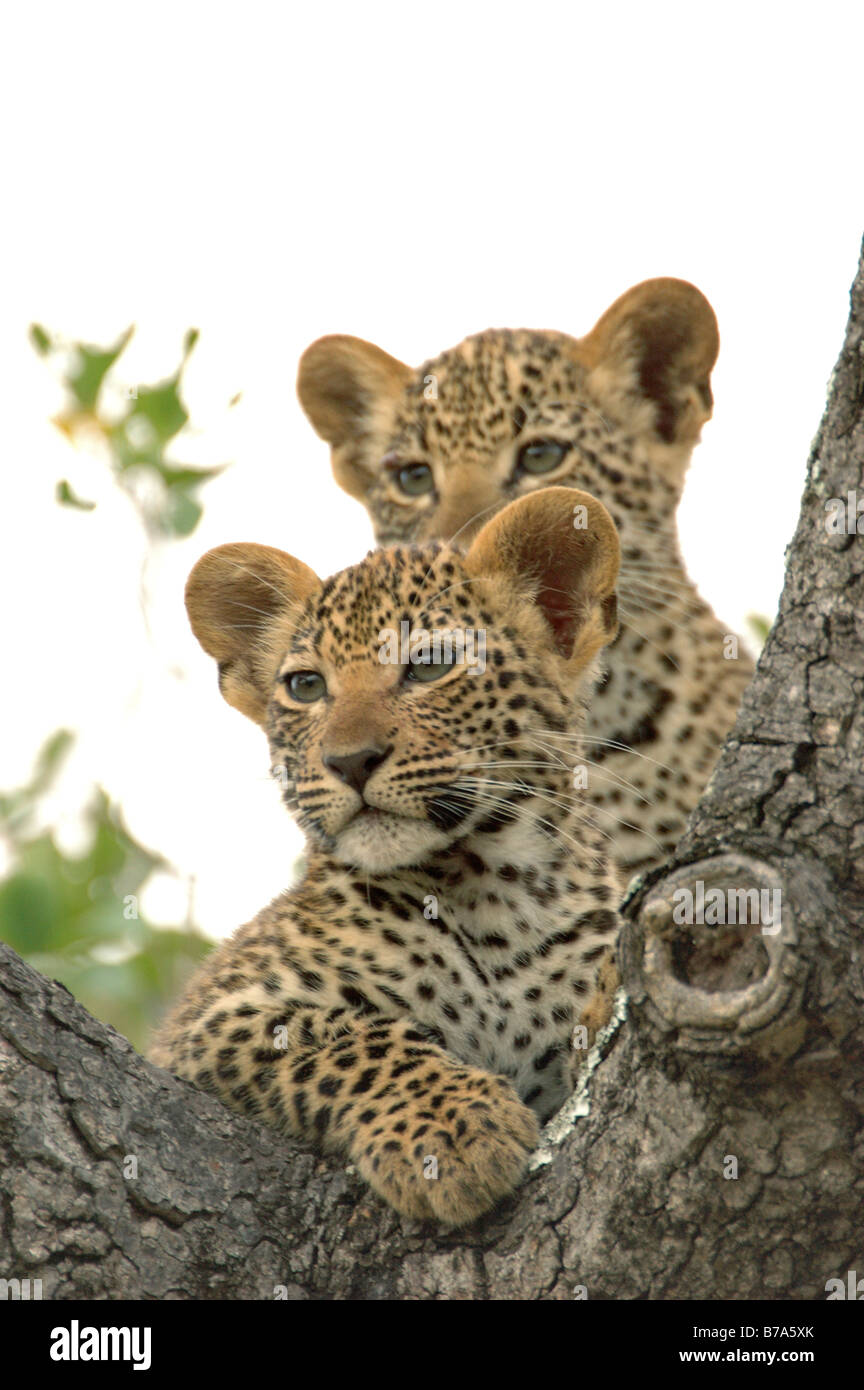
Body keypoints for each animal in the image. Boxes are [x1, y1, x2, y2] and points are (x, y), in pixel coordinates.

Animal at [149, 487, 624, 1226]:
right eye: (306, 686)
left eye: (430, 664)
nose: (350, 761)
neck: (492, 890)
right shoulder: (212, 1020)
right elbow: (348, 1034)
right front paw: (449, 1130)